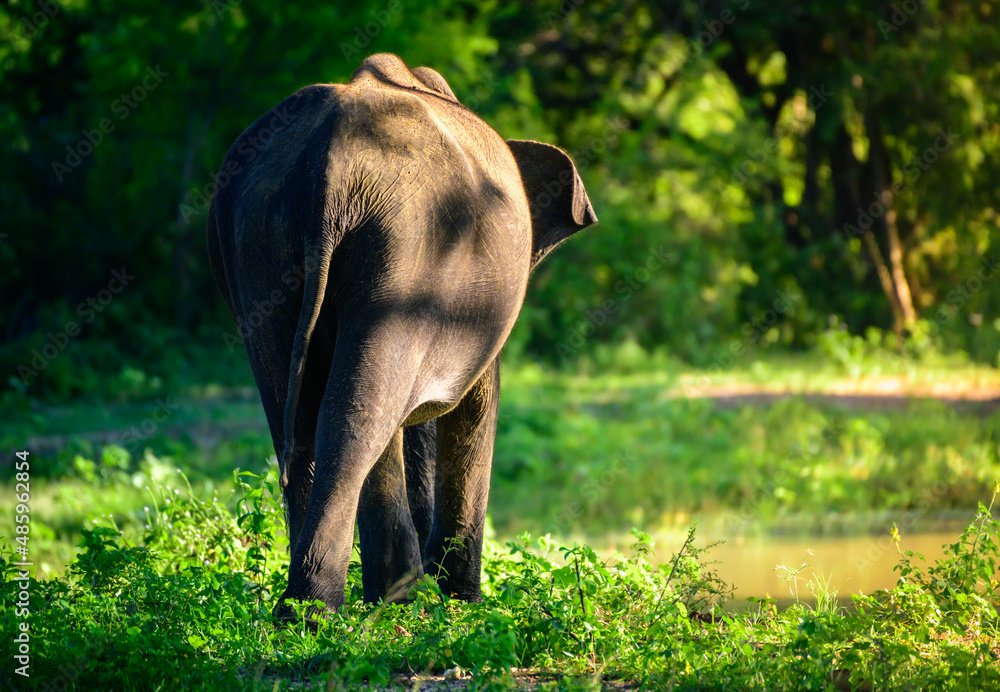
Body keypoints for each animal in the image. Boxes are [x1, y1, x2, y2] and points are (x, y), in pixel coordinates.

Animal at [206, 53, 597, 616]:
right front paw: (463, 604)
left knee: (298, 416)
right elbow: (474, 408)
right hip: (406, 250)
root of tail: (327, 165)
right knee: (354, 417)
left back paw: (315, 609)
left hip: (258, 249)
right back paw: (337, 608)